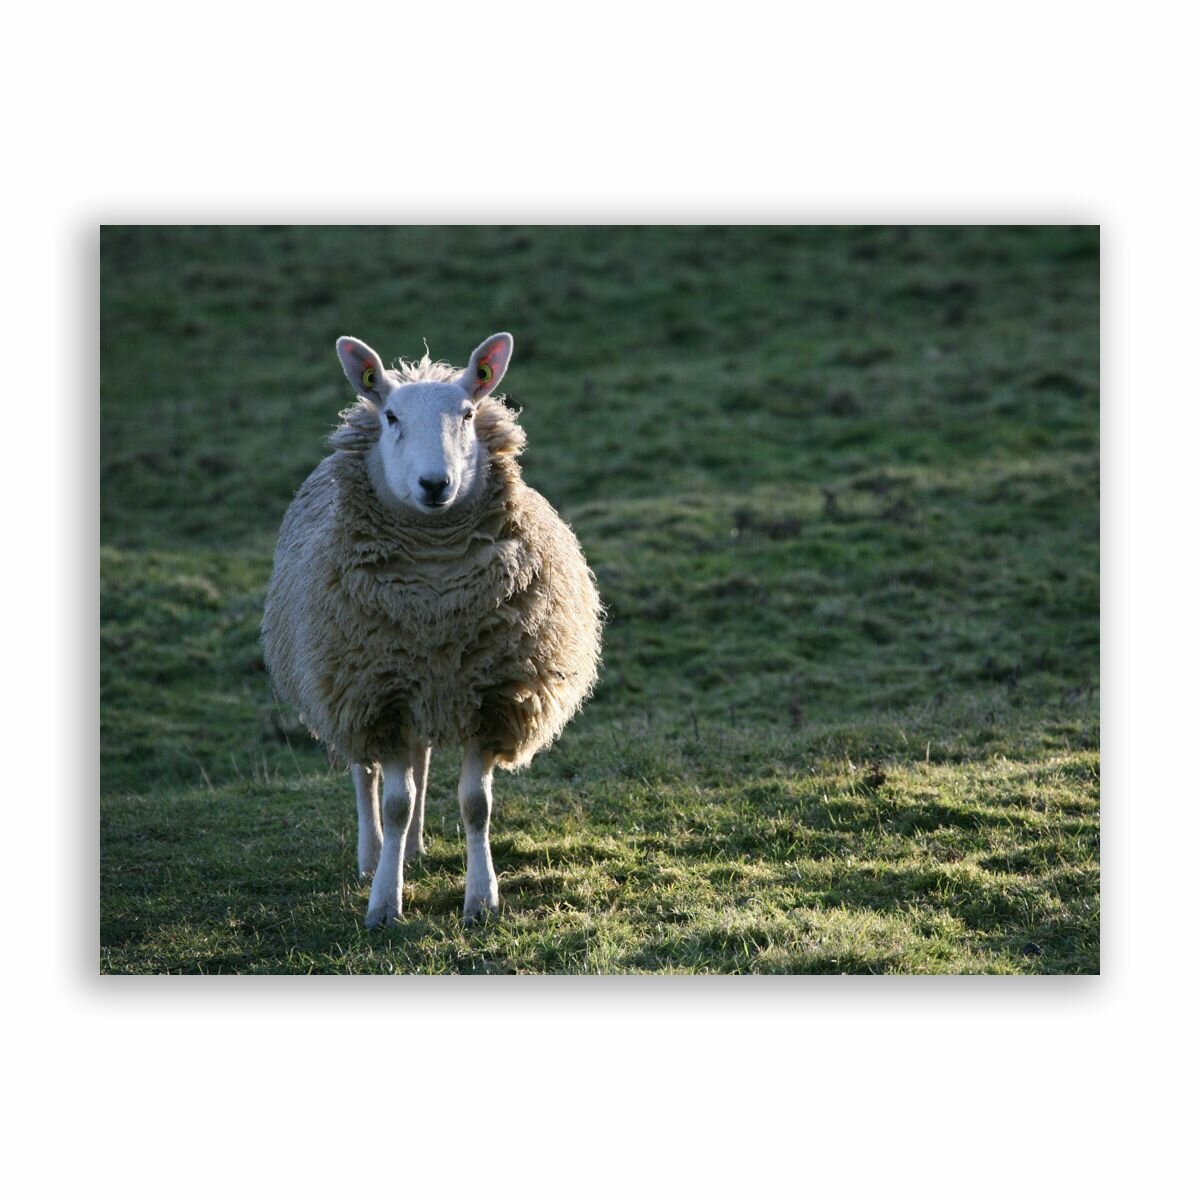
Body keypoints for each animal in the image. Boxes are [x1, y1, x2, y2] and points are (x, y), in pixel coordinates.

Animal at [262, 331, 603, 927]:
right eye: (392, 417)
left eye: (467, 413)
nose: (435, 483)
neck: (437, 592)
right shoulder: (380, 695)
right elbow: (393, 803)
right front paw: (384, 902)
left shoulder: (491, 695)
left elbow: (475, 805)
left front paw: (481, 899)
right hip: (348, 684)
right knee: (366, 775)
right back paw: (373, 855)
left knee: (419, 764)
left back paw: (415, 848)